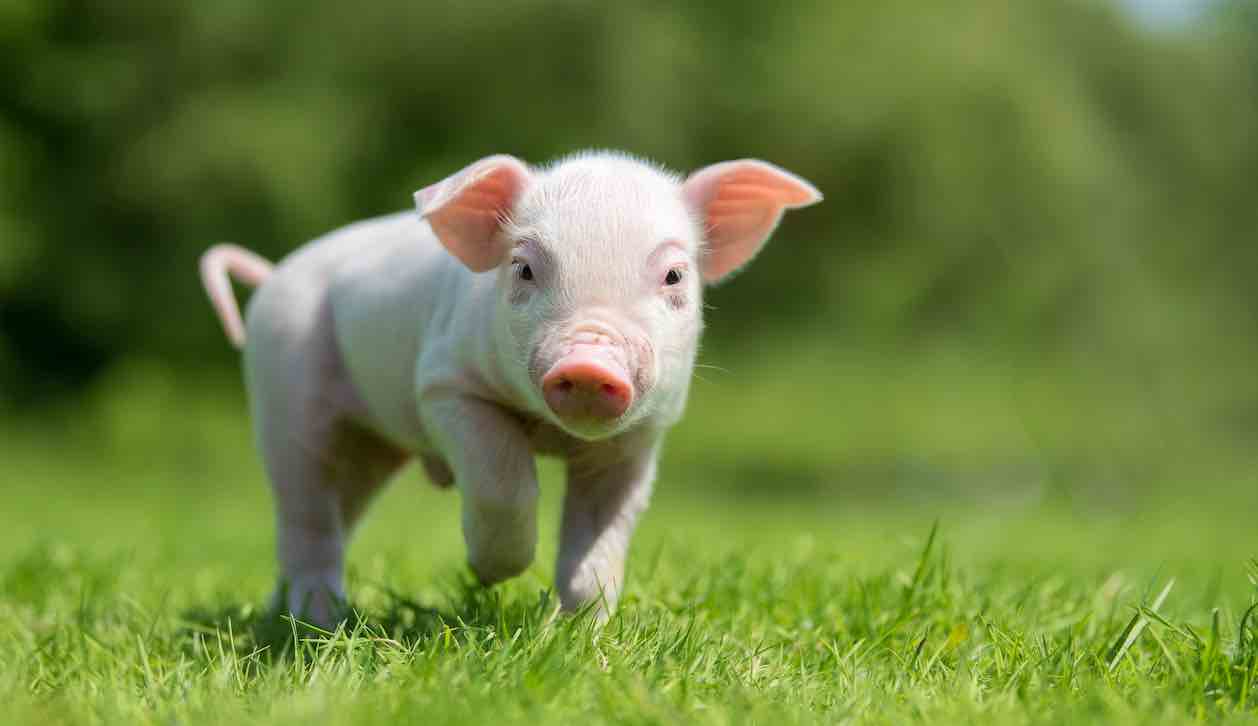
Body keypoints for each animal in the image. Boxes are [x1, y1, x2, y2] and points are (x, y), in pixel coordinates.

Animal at [199, 151, 821, 627]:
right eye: (523, 269)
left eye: (674, 276)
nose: (590, 362)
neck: (551, 434)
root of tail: (273, 274)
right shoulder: (445, 386)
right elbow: (505, 482)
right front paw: (489, 575)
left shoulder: (641, 437)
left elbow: (600, 537)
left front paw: (584, 631)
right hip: (285, 397)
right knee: (303, 512)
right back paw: (316, 621)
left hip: (369, 448)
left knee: (336, 512)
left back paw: (285, 612)